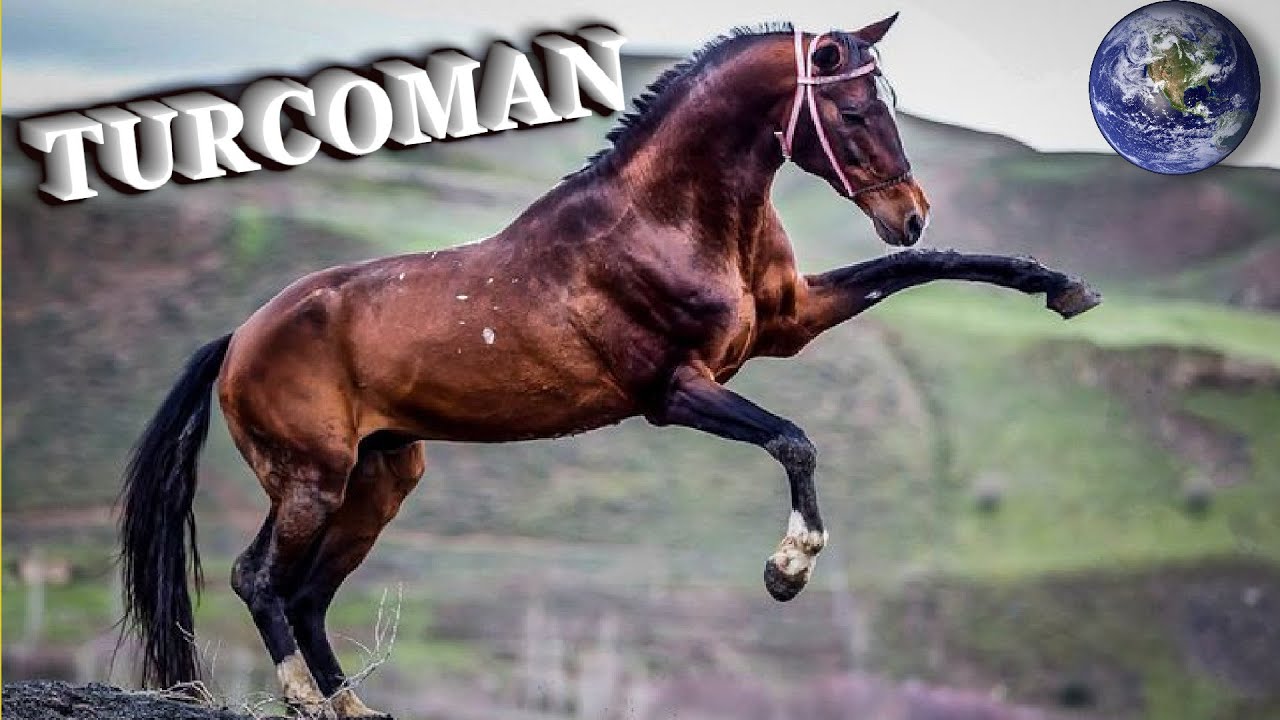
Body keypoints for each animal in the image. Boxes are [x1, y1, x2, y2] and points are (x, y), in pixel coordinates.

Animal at [119, 16, 1100, 717]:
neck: (673, 219)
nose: (908, 212)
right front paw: (787, 571)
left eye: (883, 104)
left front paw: (1060, 286)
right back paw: (303, 700)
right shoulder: (677, 391)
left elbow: (921, 272)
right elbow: (794, 440)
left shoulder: (790, 322)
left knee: (312, 594)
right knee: (260, 581)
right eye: (854, 111)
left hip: (380, 478)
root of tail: (240, 336)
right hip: (311, 479)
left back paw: (354, 708)